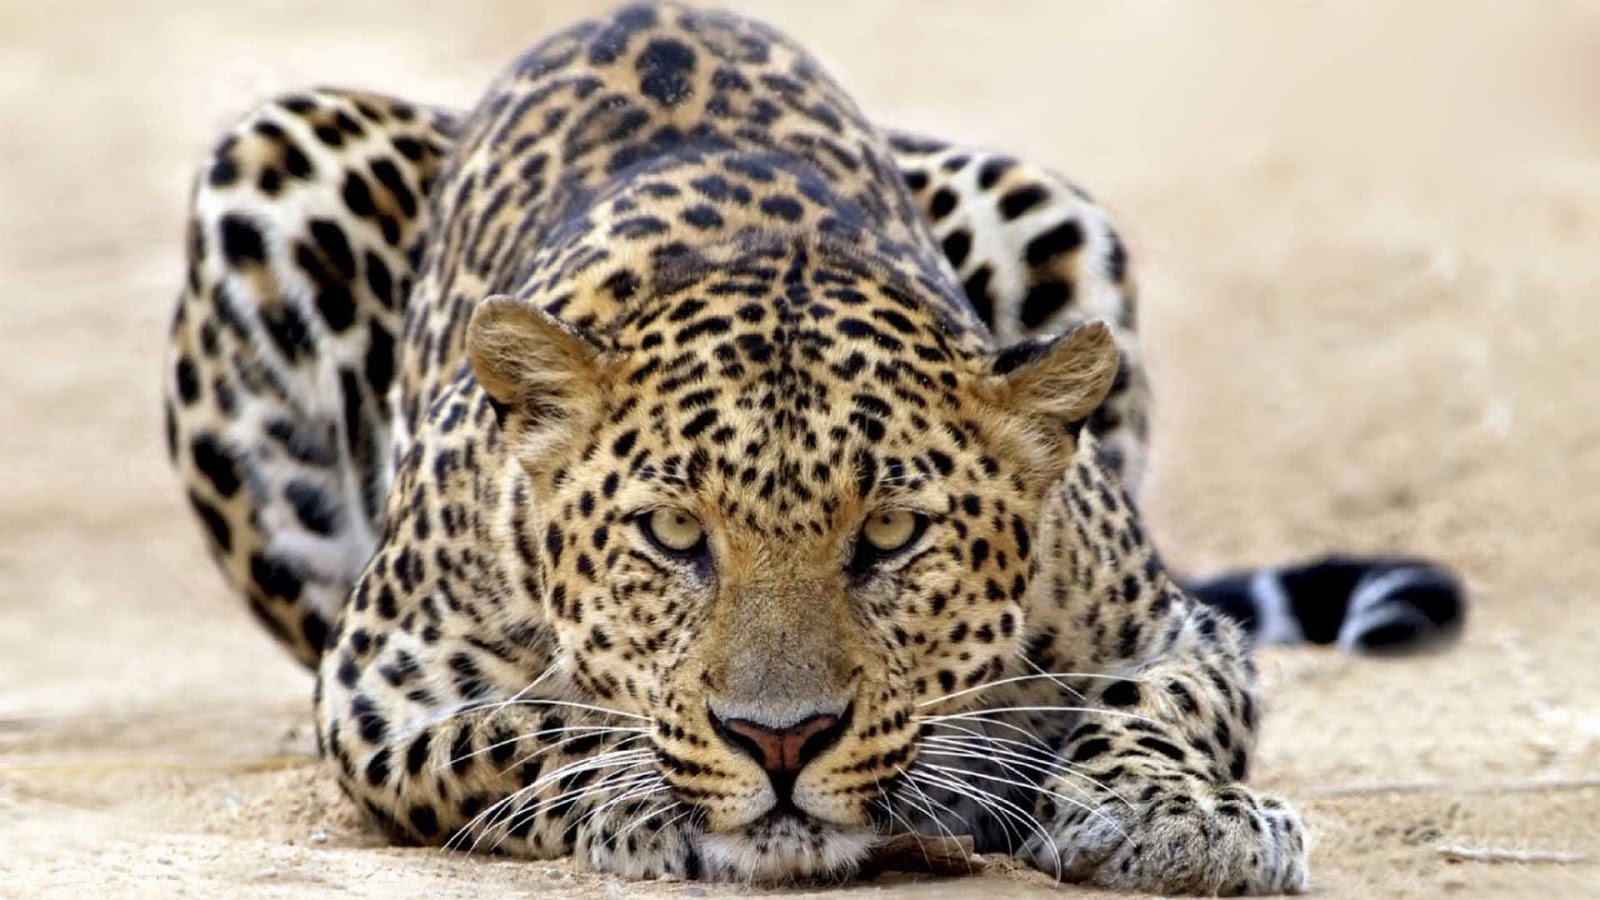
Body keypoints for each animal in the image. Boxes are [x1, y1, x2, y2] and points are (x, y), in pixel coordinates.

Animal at [162, 3, 1465, 893]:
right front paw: (647, 798)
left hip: (1040, 199)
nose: (780, 741)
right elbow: (531, 728)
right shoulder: (381, 686)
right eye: (671, 535)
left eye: (888, 536)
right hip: (270, 161)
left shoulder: (1172, 628)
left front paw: (1174, 816)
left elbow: (1157, 703)